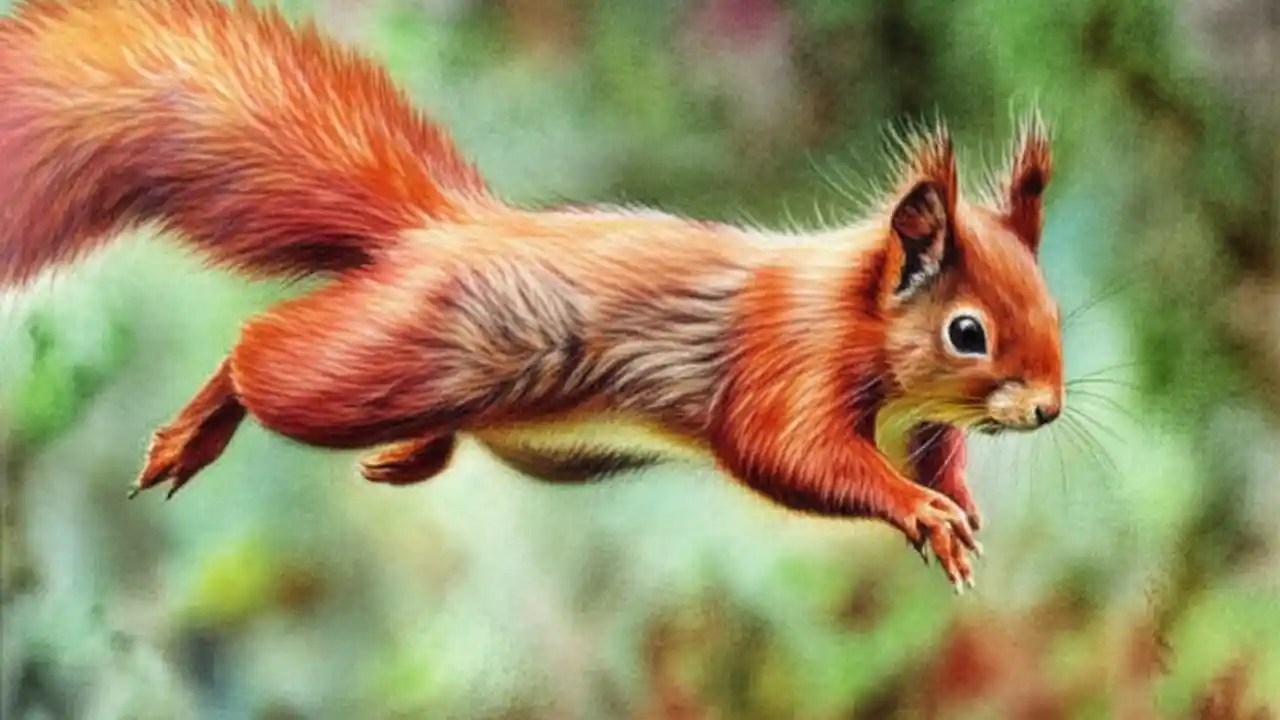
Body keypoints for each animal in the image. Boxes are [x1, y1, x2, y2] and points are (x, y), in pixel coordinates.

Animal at [0, 0, 1063, 591]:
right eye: (967, 331)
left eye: (1052, 311)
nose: (1050, 410)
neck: (855, 313)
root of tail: (442, 228)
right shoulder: (784, 364)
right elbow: (788, 451)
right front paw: (919, 511)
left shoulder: (924, 423)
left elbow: (938, 457)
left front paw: (960, 507)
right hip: (390, 360)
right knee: (260, 352)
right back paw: (200, 426)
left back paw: (415, 454)